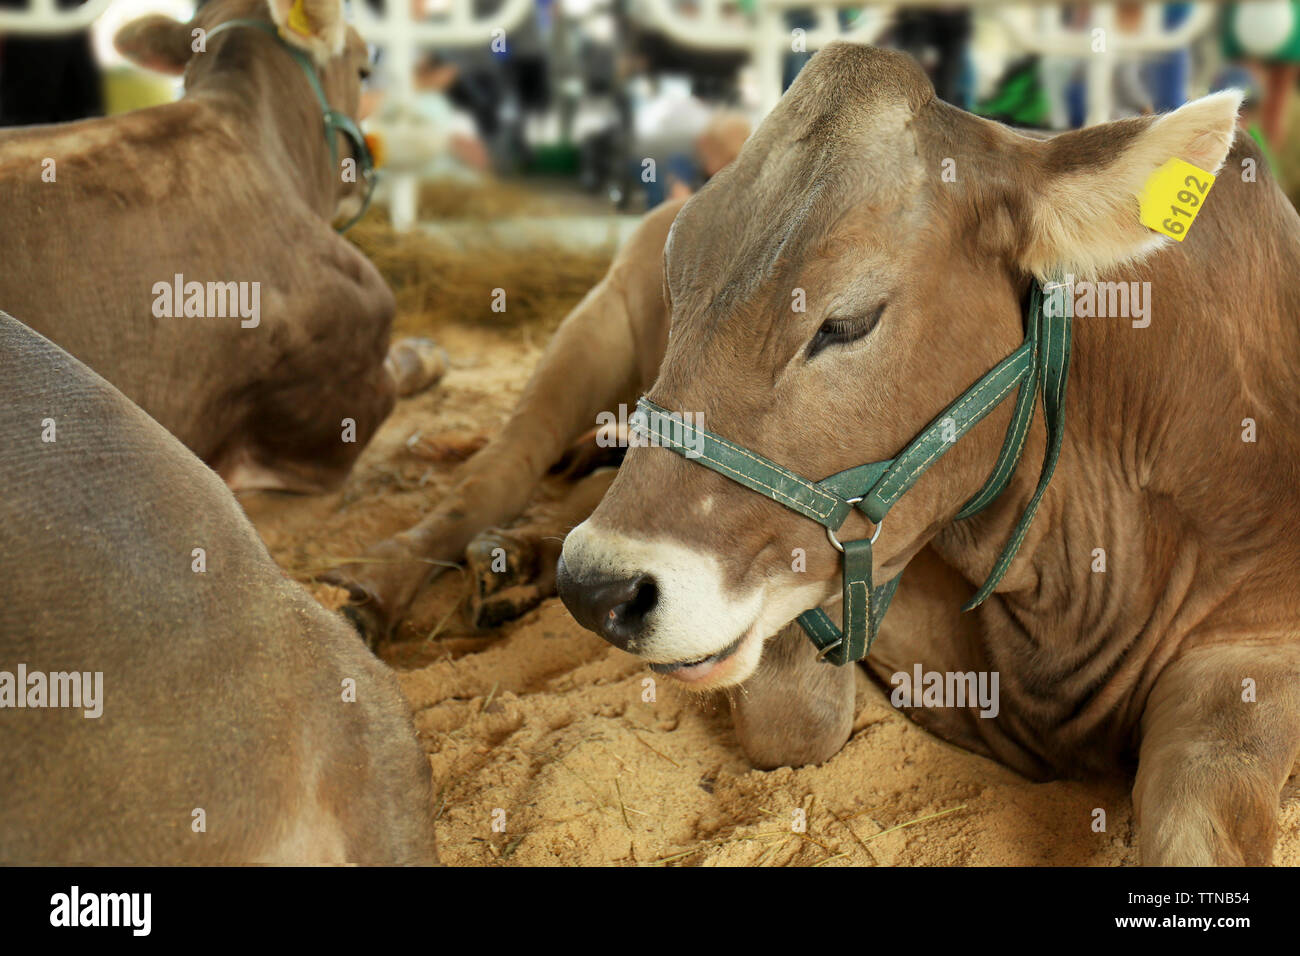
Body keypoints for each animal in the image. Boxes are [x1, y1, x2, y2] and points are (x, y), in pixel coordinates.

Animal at [554, 44, 1300, 866]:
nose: (595, 587)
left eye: (847, 321)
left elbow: (1199, 833)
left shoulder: (1258, 650)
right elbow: (799, 722)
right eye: (677, 281)